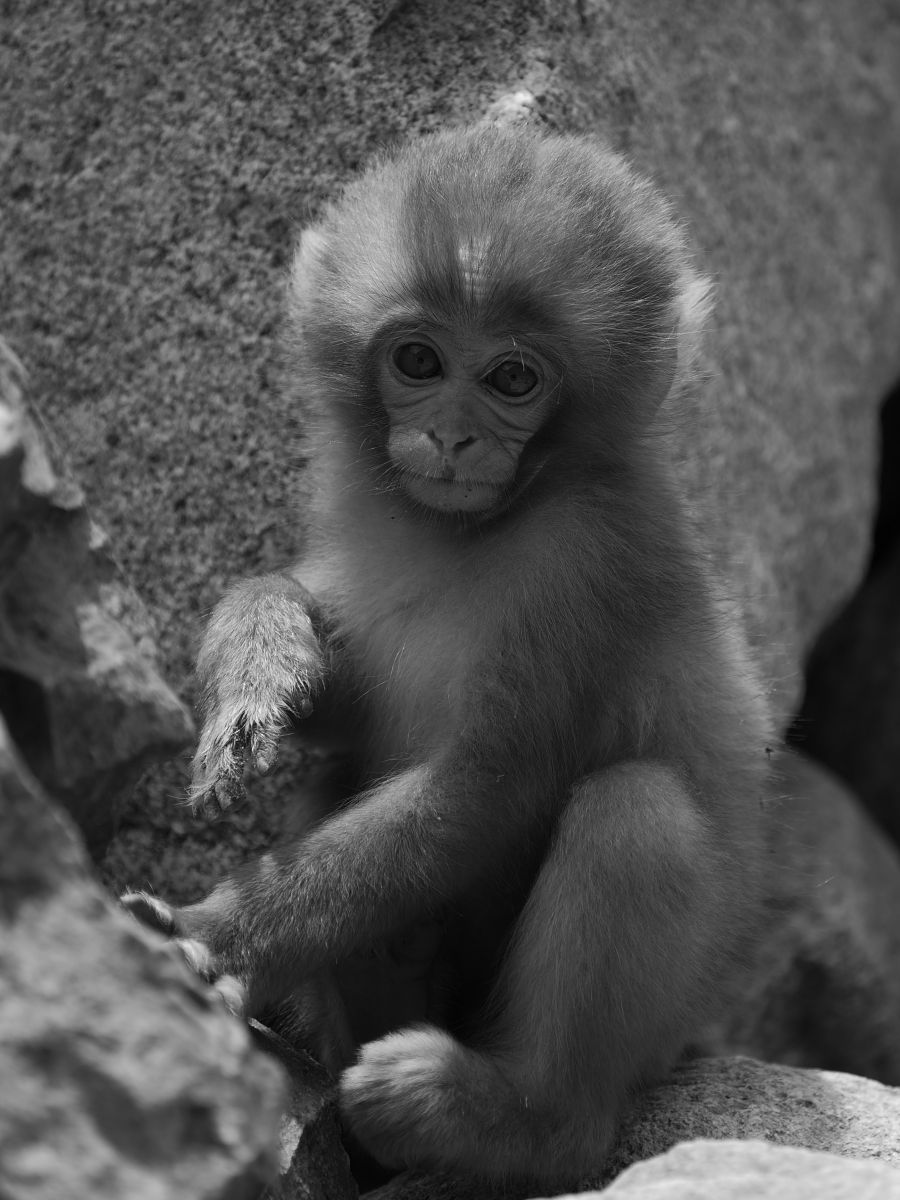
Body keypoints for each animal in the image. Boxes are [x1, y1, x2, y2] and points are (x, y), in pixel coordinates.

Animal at [123, 125, 773, 1187]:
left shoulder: (589, 558)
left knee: (636, 817)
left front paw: (207, 938)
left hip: (662, 1030)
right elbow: (342, 706)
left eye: (513, 379)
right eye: (419, 358)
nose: (454, 435)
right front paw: (259, 657)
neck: (472, 529)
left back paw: (503, 1118)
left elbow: (482, 788)